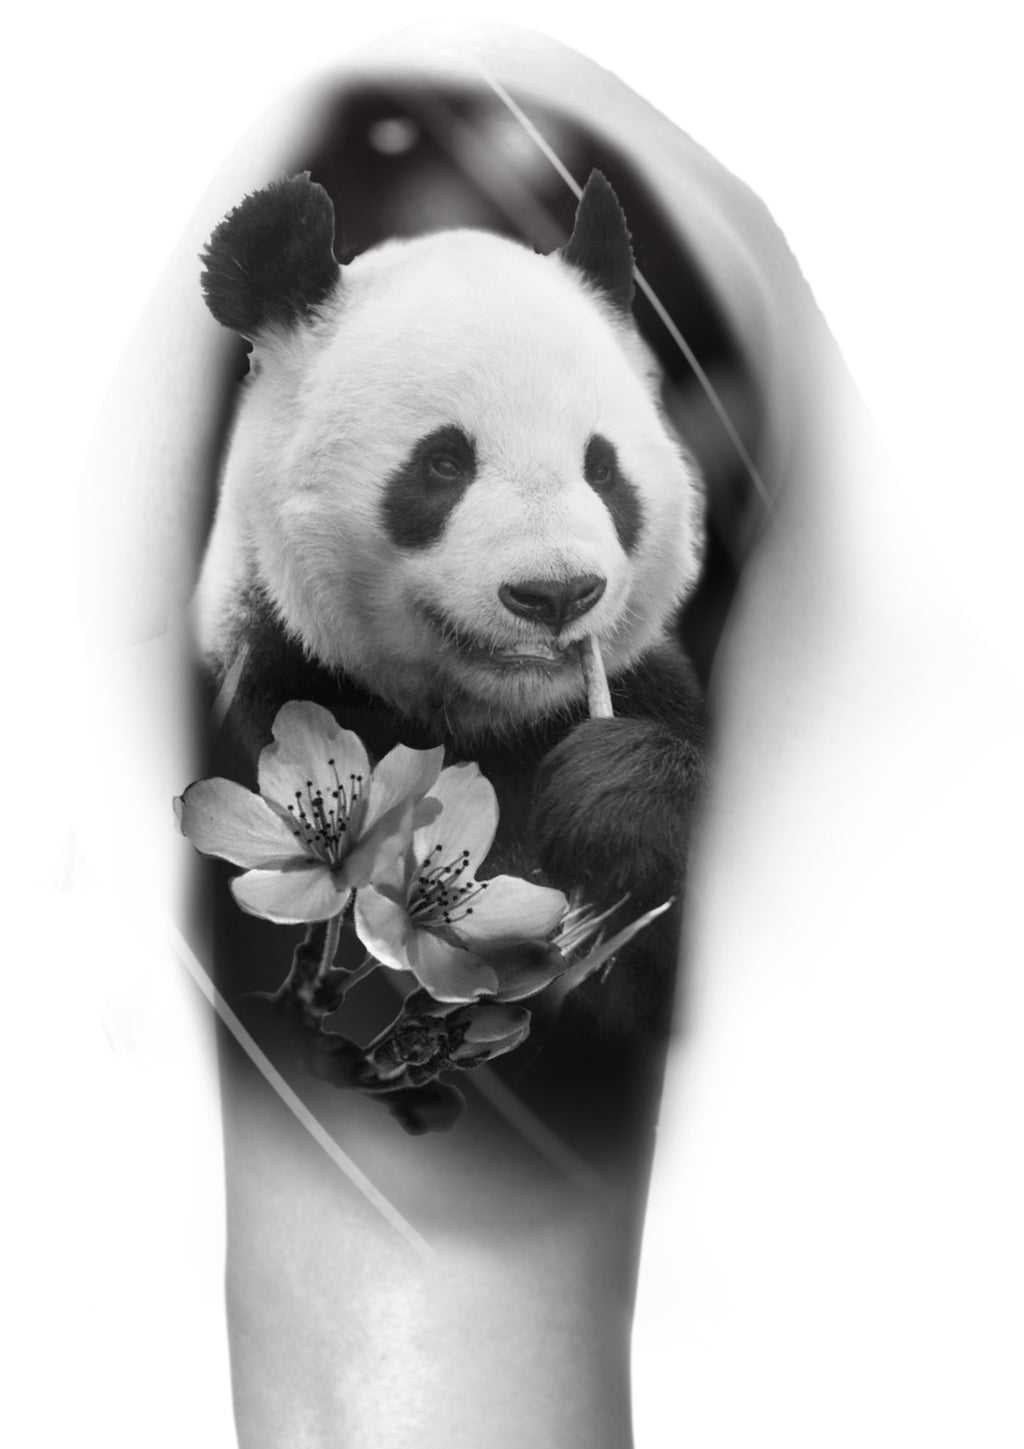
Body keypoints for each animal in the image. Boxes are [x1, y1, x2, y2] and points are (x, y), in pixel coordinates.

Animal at [196, 170, 709, 917]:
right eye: (443, 464)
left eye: (602, 468)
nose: (555, 593)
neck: (491, 722)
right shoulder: (267, 679)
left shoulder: (655, 689)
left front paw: (618, 801)